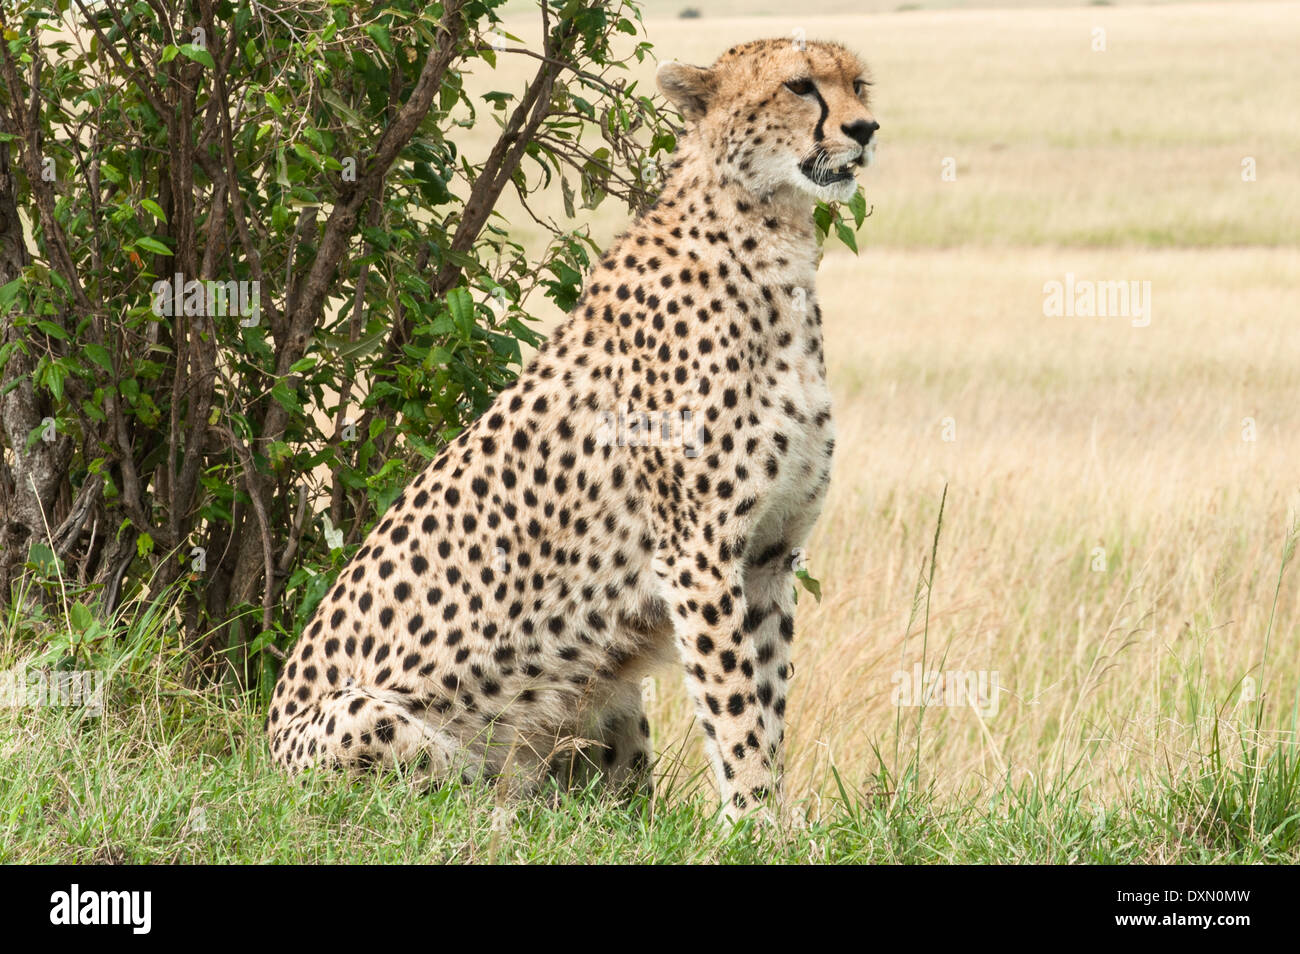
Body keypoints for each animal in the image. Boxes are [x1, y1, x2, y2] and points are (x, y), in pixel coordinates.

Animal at [268, 36, 879, 821]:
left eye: (859, 84)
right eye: (800, 86)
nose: (864, 129)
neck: (771, 235)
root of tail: (262, 748)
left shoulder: (770, 551)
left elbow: (766, 700)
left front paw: (768, 813)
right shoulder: (699, 550)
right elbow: (735, 701)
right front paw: (754, 820)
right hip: (366, 717)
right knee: (452, 795)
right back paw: (508, 810)